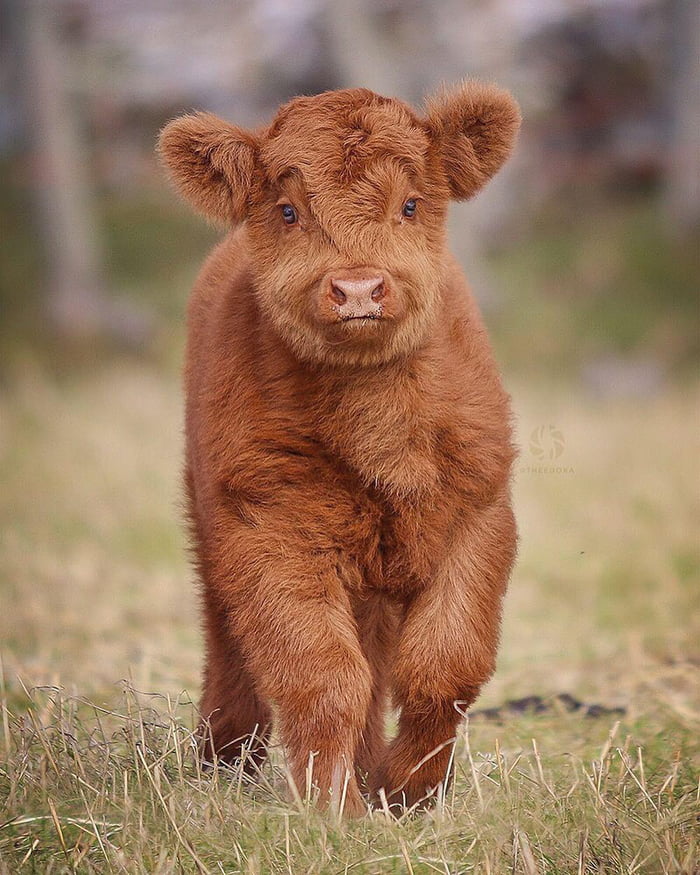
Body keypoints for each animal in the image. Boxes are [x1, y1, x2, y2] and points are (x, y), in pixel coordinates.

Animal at [158, 81, 520, 816]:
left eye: (411, 203)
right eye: (288, 209)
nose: (357, 288)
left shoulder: (481, 515)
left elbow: (445, 665)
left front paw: (409, 793)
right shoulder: (269, 529)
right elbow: (322, 676)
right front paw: (332, 809)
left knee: (380, 665)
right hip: (213, 526)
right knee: (230, 643)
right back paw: (224, 762)